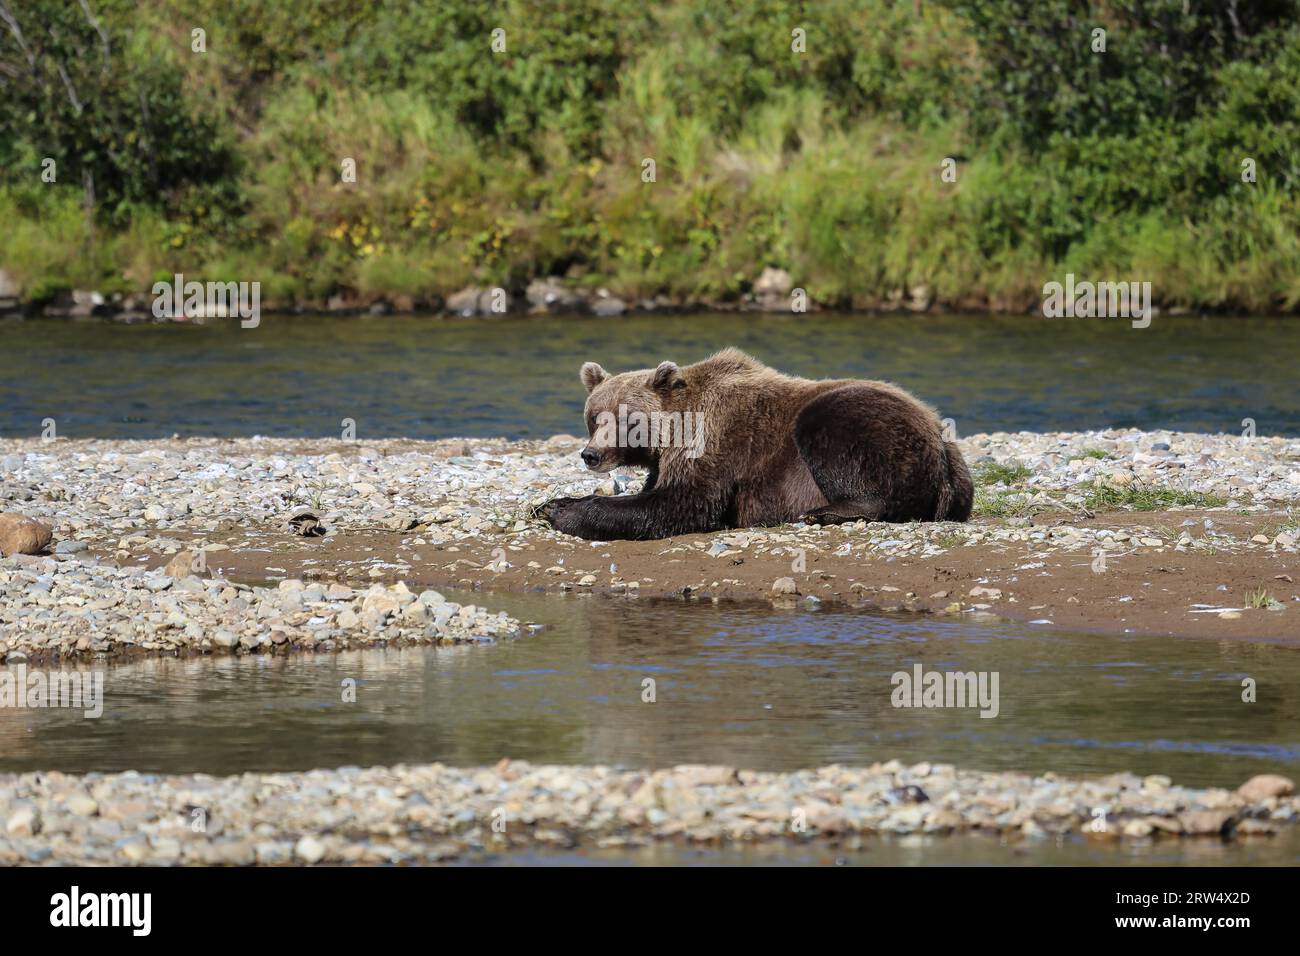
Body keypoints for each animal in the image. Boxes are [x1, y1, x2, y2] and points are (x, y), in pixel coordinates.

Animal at [537, 348, 973, 541]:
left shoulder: (717, 444)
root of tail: (940, 435)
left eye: (626, 419)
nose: (591, 454)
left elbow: (683, 503)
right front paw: (549, 503)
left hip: (863, 422)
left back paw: (824, 513)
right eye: (595, 416)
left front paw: (563, 511)